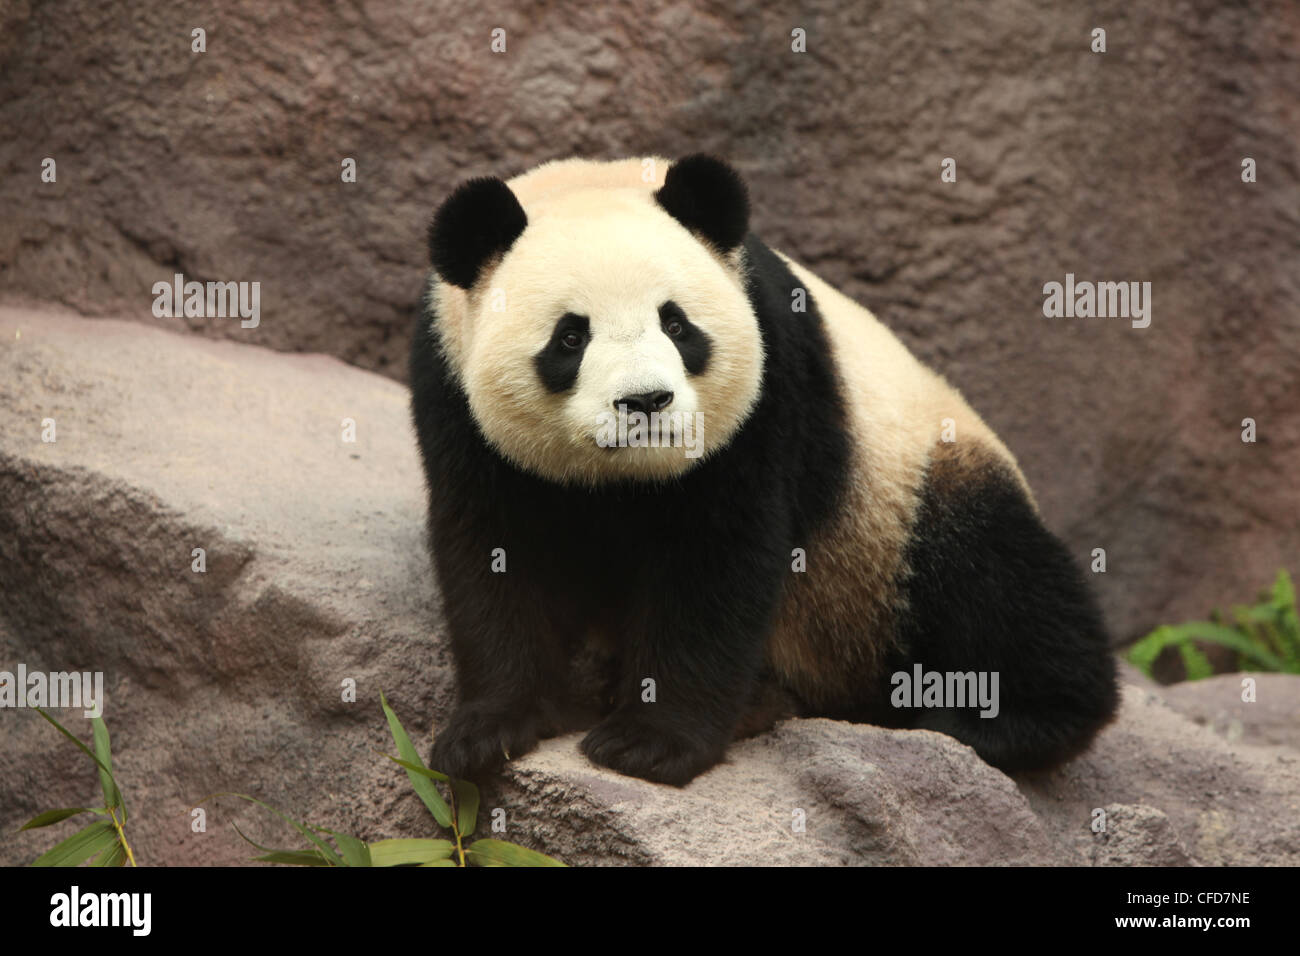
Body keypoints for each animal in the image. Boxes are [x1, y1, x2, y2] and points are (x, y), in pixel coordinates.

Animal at [409, 154, 1119, 786]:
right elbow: (496, 553)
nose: (646, 402)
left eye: (676, 324)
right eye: (570, 337)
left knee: (993, 576)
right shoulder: (452, 393)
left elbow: (718, 560)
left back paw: (1000, 721)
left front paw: (650, 742)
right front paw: (489, 731)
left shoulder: (771, 382)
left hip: (898, 504)